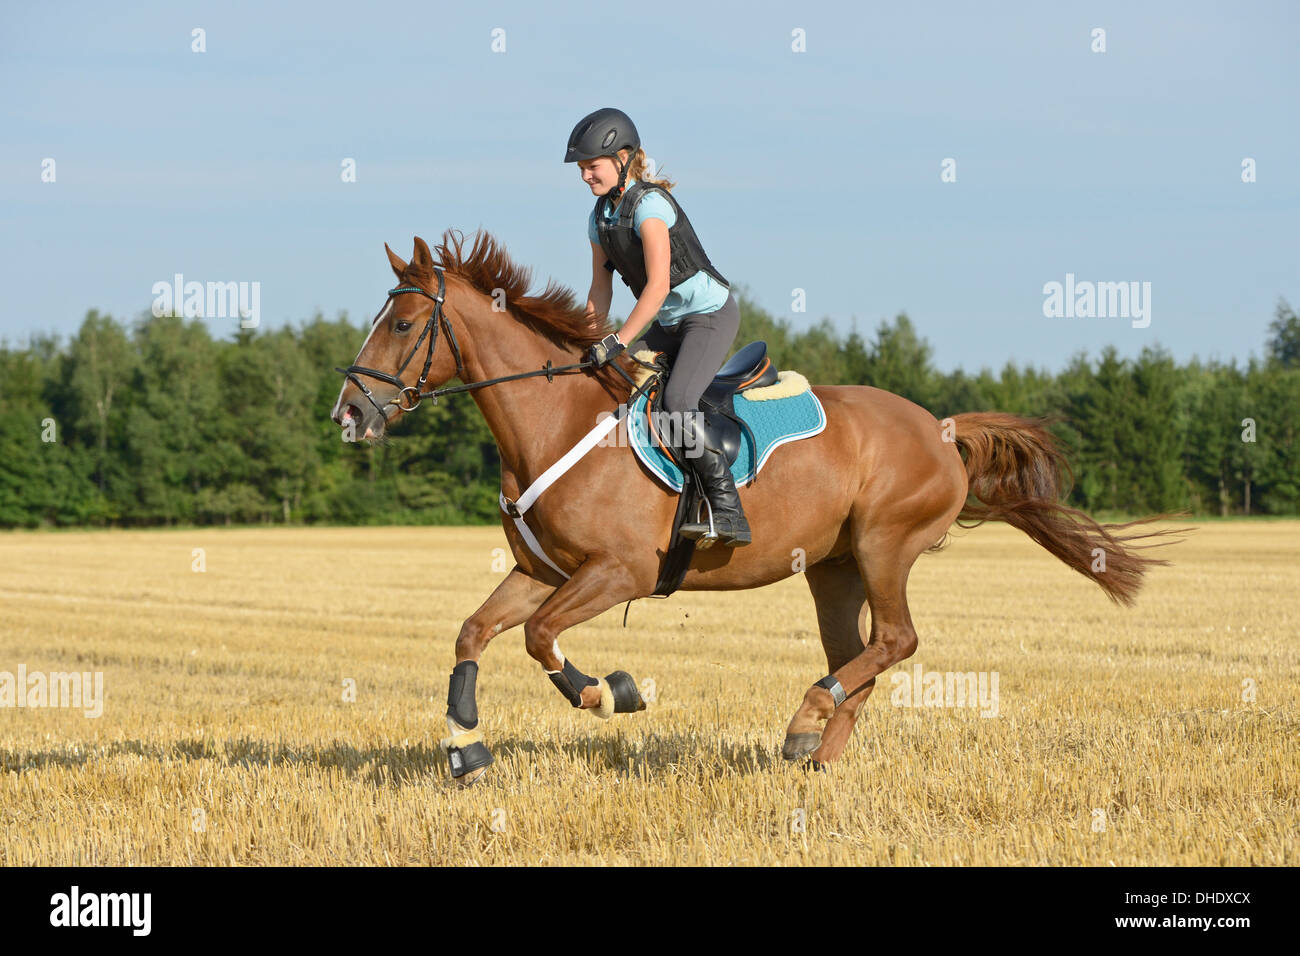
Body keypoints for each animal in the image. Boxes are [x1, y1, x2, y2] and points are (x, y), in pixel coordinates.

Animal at [331, 230, 1177, 784]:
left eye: (402, 324)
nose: (349, 415)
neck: (555, 419)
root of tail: (940, 427)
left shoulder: (618, 572)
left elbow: (541, 639)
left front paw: (611, 694)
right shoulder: (546, 572)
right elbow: (474, 633)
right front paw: (465, 750)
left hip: (885, 544)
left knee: (895, 640)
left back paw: (803, 722)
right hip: (834, 567)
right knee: (859, 656)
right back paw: (815, 755)